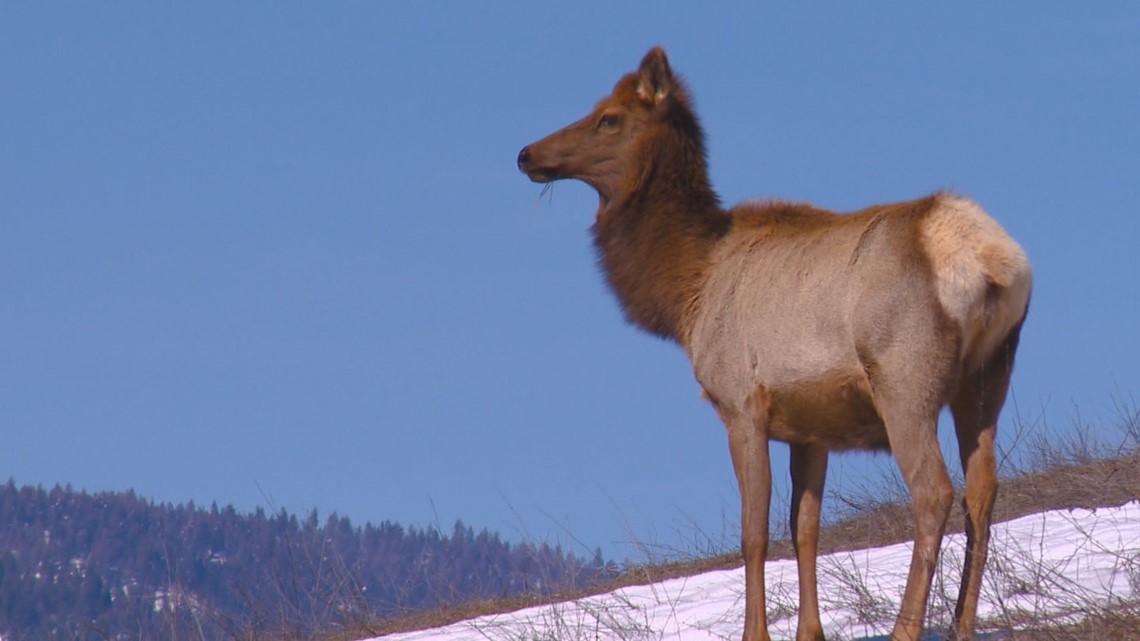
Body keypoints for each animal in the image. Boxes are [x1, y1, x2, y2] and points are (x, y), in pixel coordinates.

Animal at [517, 47, 1031, 641]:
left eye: (609, 118)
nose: (526, 153)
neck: (687, 291)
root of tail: (991, 260)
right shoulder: (811, 425)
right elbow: (804, 528)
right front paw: (810, 631)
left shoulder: (741, 402)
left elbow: (754, 532)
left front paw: (754, 632)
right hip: (988, 378)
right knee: (983, 489)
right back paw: (960, 627)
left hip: (905, 381)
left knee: (934, 491)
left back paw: (906, 628)